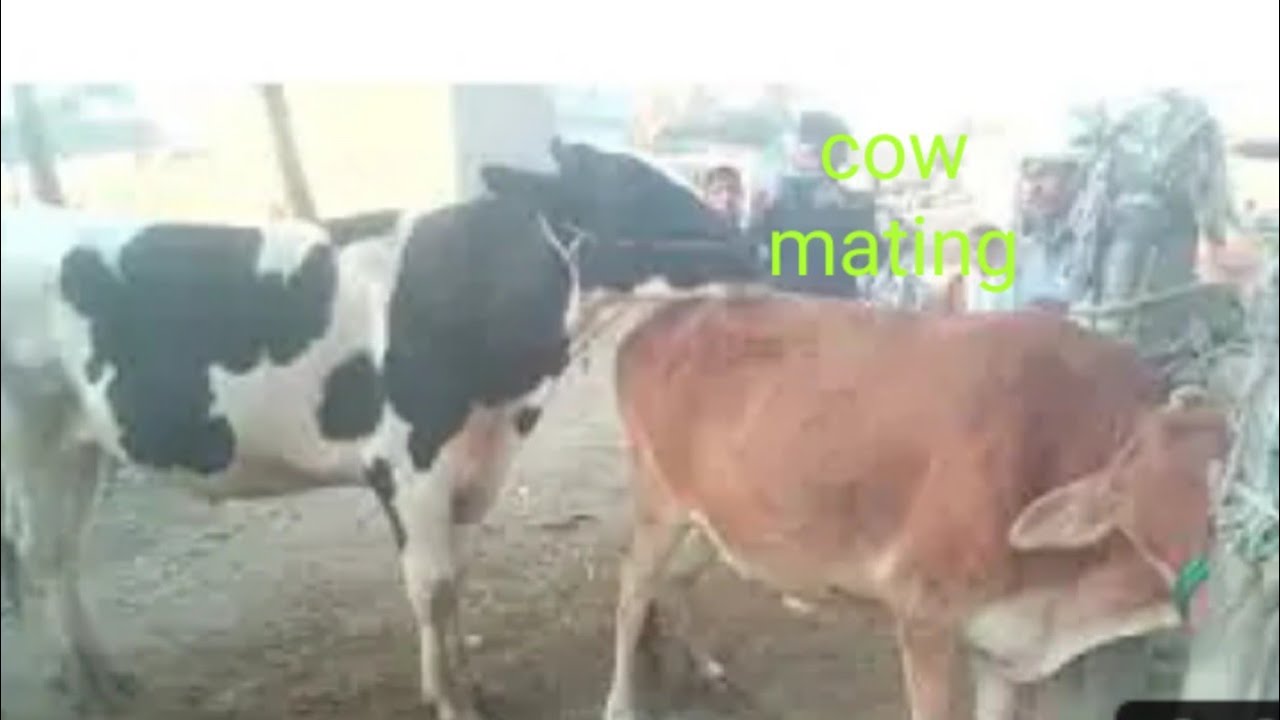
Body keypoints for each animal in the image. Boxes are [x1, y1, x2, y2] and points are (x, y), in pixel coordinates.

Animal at [0, 136, 751, 720]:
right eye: (632, 186)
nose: (749, 247)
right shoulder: (408, 469)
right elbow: (432, 586)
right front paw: (451, 702)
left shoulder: (471, 468)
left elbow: (454, 577)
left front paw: (462, 680)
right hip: (29, 439)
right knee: (36, 552)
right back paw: (76, 682)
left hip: (81, 446)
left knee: (60, 554)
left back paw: (99, 673)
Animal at [598, 296, 1232, 720]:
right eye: (1139, 514)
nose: (1208, 608)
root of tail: (669, 311)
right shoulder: (923, 614)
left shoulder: (999, 645)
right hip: (659, 501)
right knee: (632, 590)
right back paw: (621, 704)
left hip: (713, 518)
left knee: (677, 580)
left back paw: (707, 667)